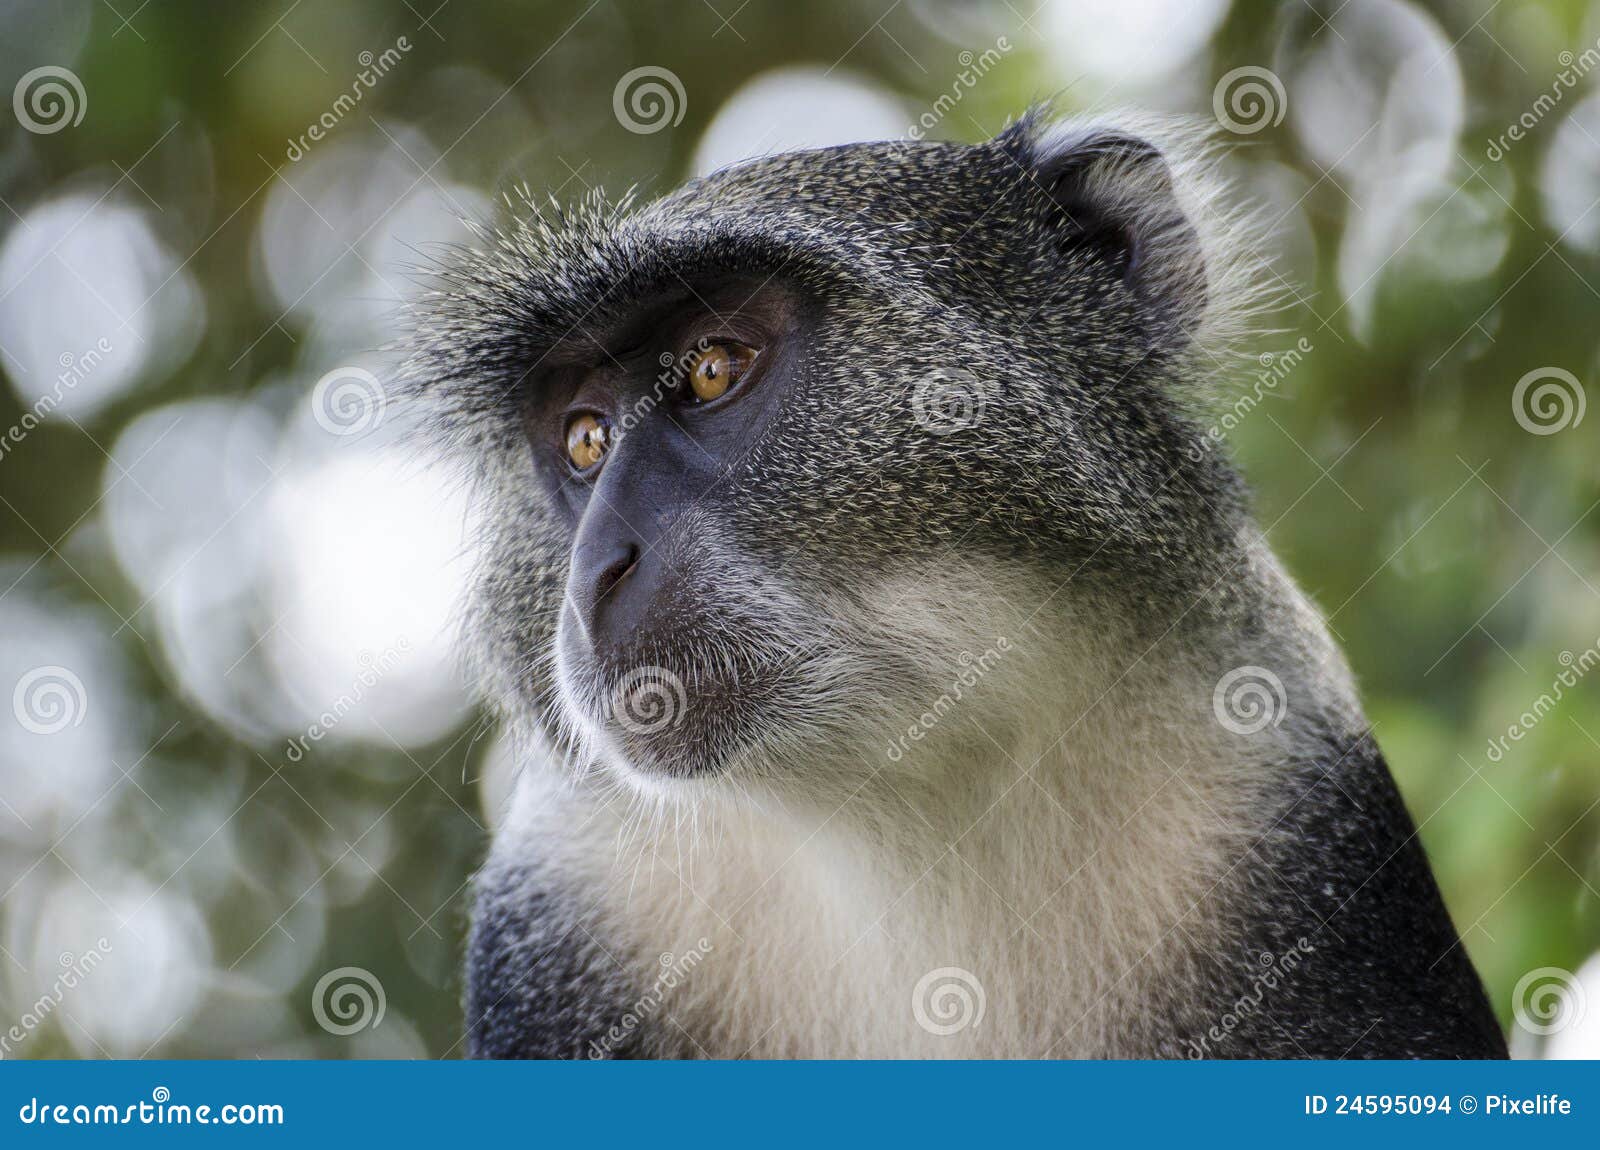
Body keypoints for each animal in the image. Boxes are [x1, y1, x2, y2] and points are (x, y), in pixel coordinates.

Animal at [402, 108, 1508, 1059]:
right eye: (586, 440)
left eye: (712, 369)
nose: (596, 568)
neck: (911, 797)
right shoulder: (565, 912)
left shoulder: (1293, 796)